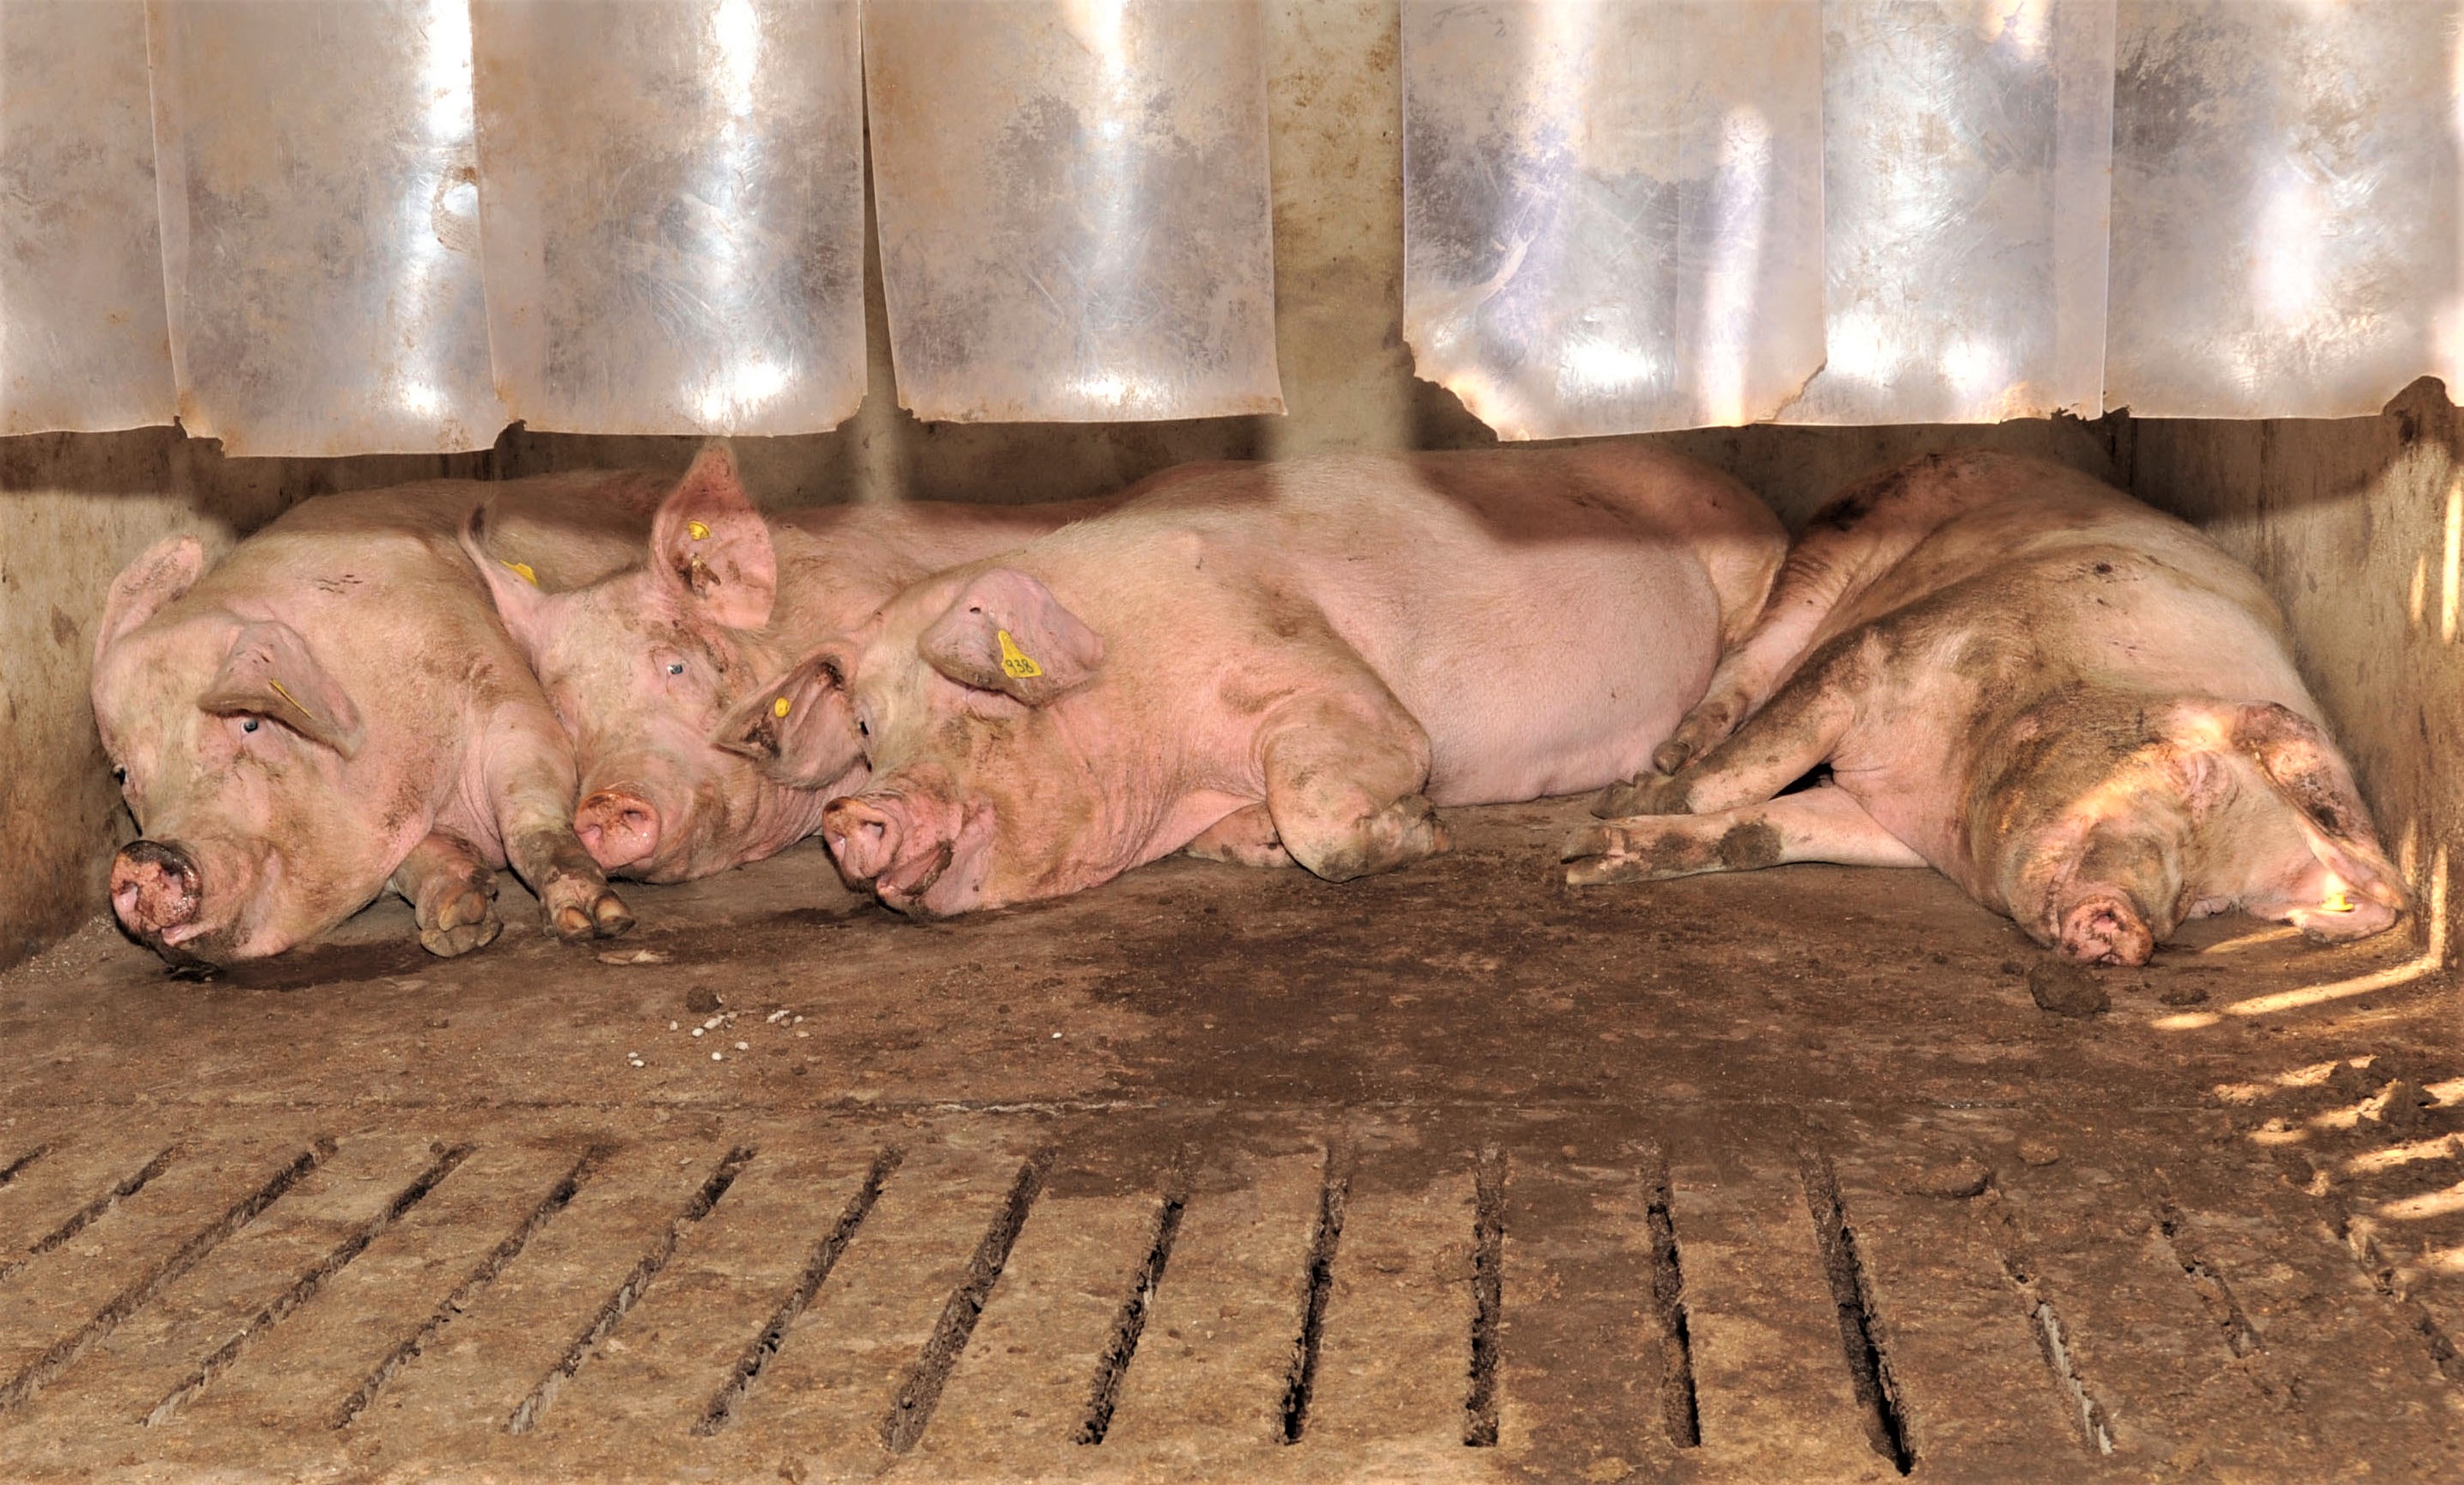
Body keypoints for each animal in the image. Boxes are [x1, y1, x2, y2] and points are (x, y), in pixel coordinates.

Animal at [92, 473, 662, 963]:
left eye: (250, 724)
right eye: (124, 773)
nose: (141, 857)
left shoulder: (499, 682)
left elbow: (530, 813)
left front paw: (595, 920)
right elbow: (415, 861)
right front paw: (458, 920)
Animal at [713, 443, 1786, 916]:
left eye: (975, 689)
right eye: (864, 728)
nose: (856, 813)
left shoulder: (1335, 679)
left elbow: (1323, 801)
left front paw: (1425, 827)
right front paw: (1255, 842)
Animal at [1562, 451, 2409, 965]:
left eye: (2213, 902)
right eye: (2188, 774)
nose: (2128, 927)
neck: (1953, 783)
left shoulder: (1892, 828)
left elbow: (1763, 832)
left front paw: (1589, 859)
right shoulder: (1879, 657)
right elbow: (1745, 772)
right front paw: (1607, 815)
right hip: (1841, 536)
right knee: (1754, 656)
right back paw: (1667, 755)